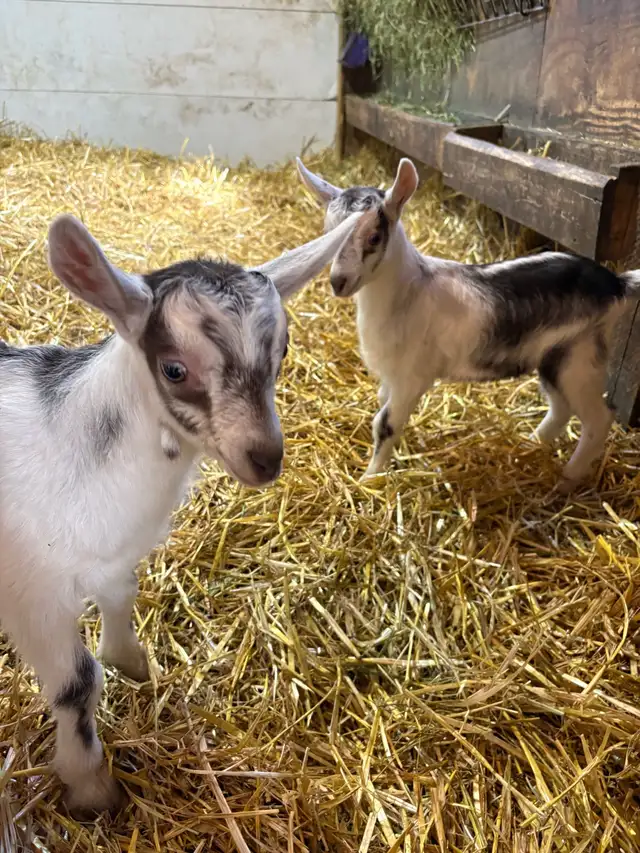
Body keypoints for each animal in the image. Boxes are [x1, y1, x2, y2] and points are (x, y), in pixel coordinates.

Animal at [0, 209, 363, 817]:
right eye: (174, 369)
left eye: (283, 353)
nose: (265, 457)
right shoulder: (34, 593)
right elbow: (78, 681)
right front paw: (91, 786)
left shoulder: (114, 556)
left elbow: (123, 598)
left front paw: (131, 662)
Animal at [296, 156, 640, 492]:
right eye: (327, 232)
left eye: (374, 236)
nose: (338, 282)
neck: (410, 290)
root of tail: (617, 284)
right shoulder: (392, 377)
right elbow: (383, 408)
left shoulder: (412, 377)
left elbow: (385, 424)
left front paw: (369, 479)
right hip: (554, 358)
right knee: (561, 409)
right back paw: (532, 446)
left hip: (580, 356)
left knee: (598, 419)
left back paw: (566, 482)